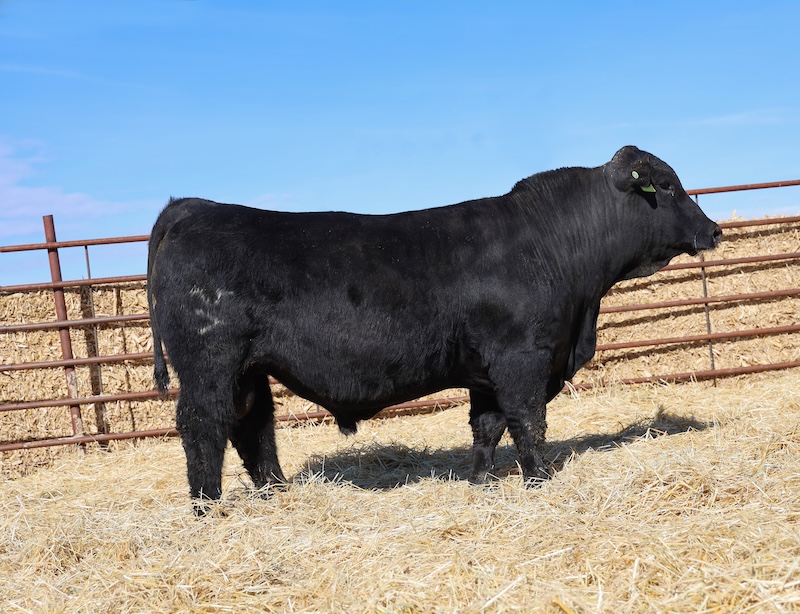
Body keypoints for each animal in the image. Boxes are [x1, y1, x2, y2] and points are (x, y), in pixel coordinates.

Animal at [147, 145, 721, 514]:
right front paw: (540, 480)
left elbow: (487, 427)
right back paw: (207, 509)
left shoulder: (487, 371)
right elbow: (528, 423)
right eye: (668, 187)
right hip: (210, 363)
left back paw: (277, 494)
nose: (713, 230)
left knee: (252, 427)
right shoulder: (522, 357)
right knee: (204, 425)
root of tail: (190, 208)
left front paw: (480, 483)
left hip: (248, 369)